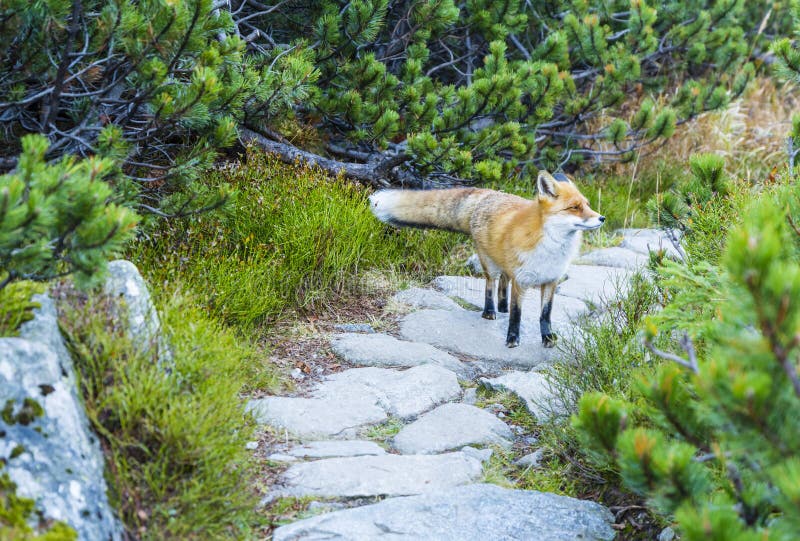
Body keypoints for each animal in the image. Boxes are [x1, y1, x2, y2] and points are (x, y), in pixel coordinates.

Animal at [369, 171, 605, 349]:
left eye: (587, 204)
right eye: (574, 207)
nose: (602, 218)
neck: (551, 248)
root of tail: (487, 193)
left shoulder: (551, 281)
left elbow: (545, 315)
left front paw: (547, 338)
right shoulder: (522, 281)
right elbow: (517, 315)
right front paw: (512, 339)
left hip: (505, 264)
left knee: (503, 284)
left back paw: (502, 307)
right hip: (489, 265)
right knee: (491, 285)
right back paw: (490, 311)